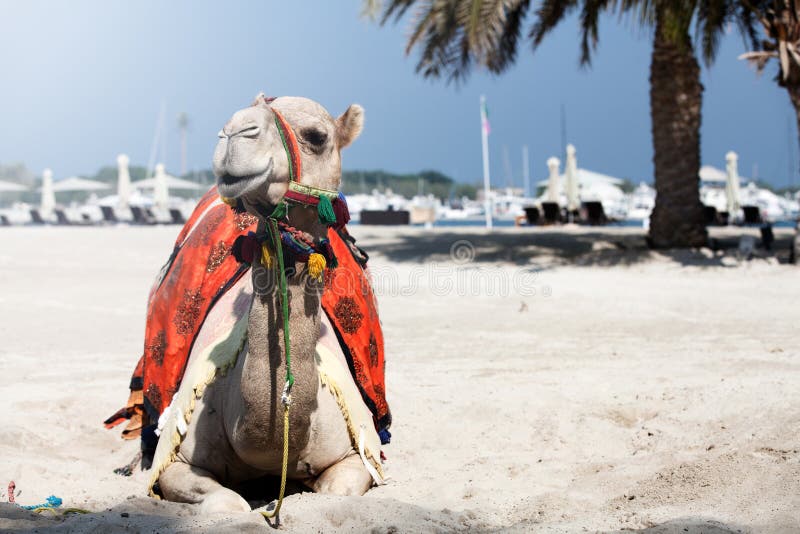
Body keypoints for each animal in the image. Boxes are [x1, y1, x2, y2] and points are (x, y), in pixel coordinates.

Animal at [155, 95, 379, 514]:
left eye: (317, 136)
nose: (233, 133)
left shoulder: (355, 453)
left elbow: (335, 494)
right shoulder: (177, 462)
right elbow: (228, 505)